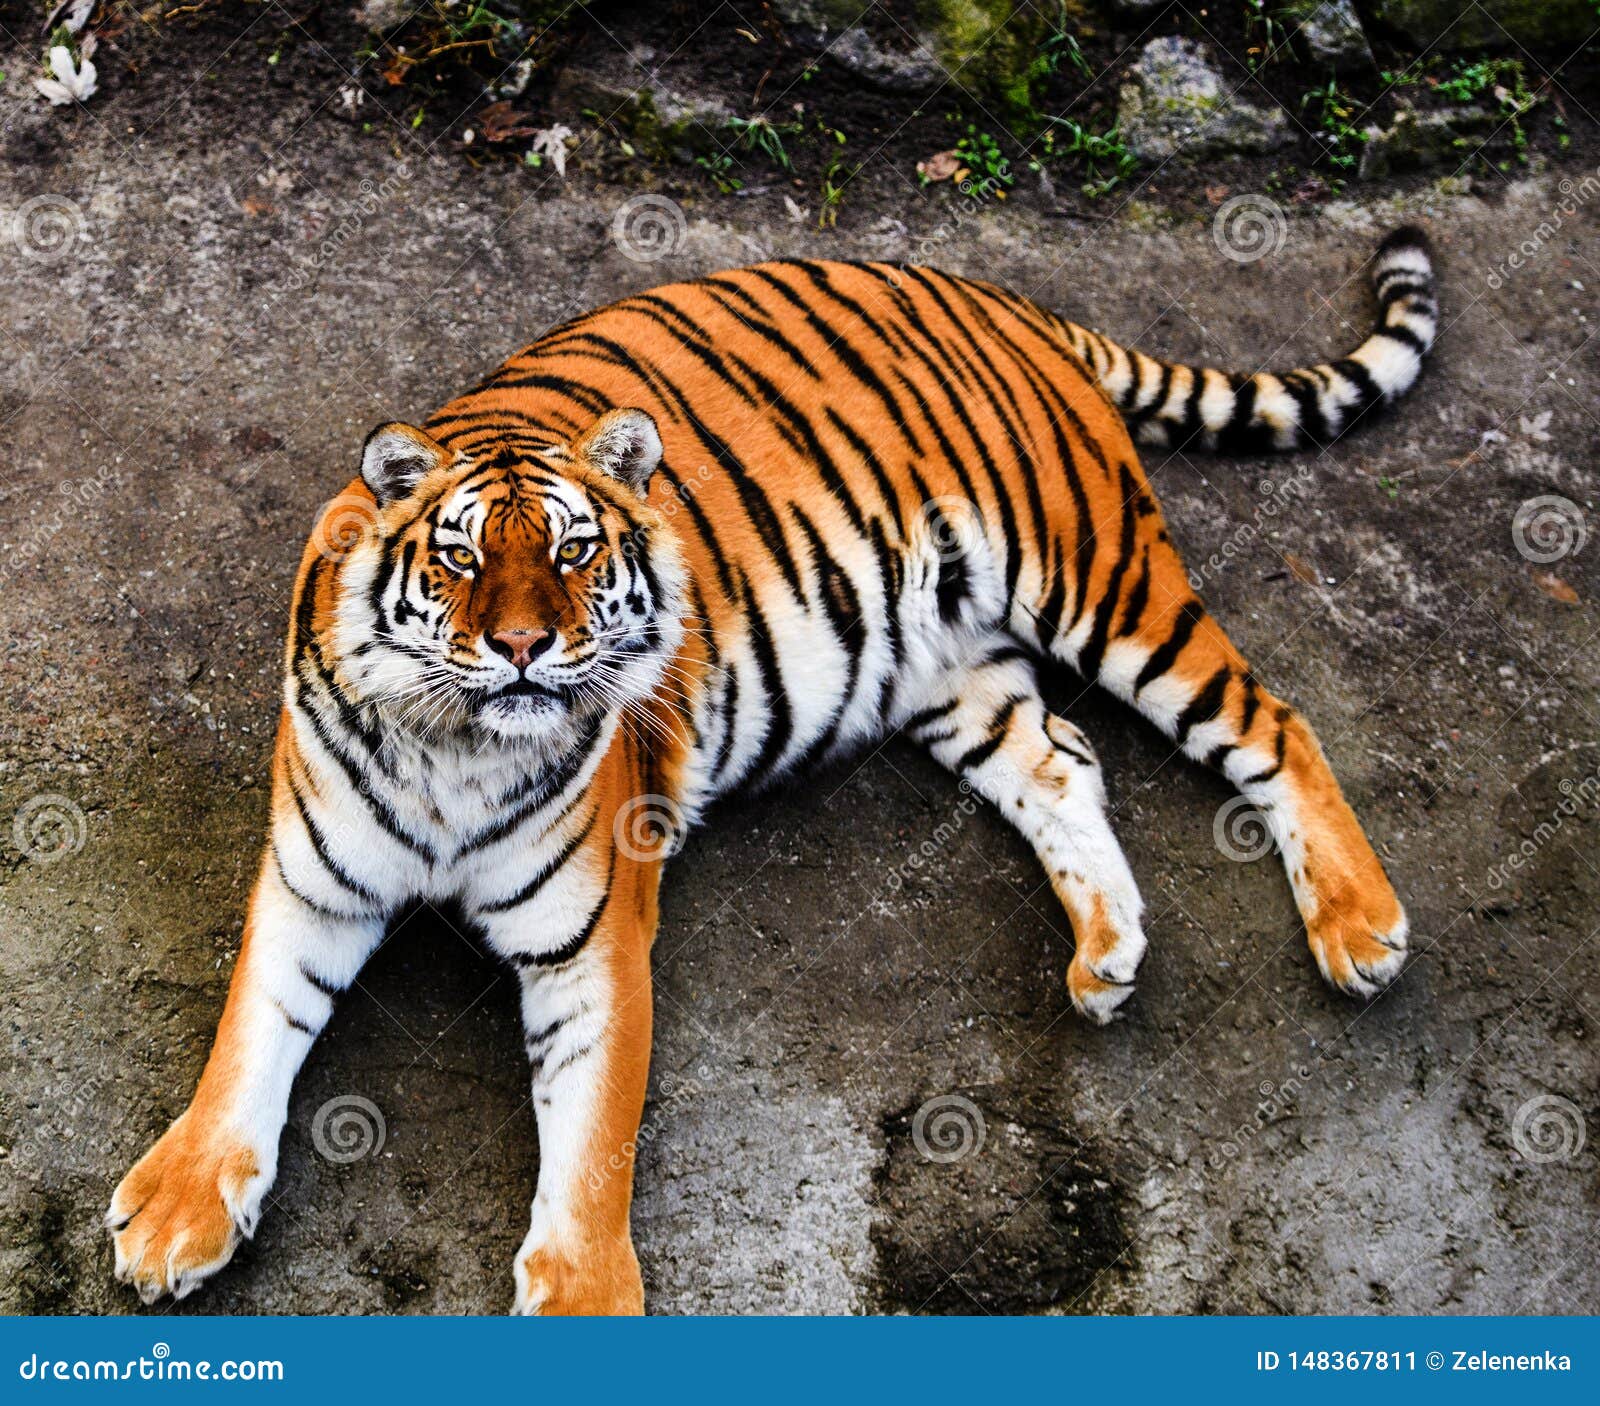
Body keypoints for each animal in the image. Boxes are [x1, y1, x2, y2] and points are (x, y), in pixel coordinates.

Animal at [106, 226, 1436, 1314]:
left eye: (575, 554)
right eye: (464, 558)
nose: (526, 645)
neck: (456, 748)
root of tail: (1004, 297)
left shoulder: (595, 938)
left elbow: (591, 1140)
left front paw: (580, 1301)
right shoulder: (312, 884)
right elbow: (248, 1032)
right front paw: (177, 1208)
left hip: (1099, 576)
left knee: (1274, 723)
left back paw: (1358, 927)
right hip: (946, 666)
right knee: (1061, 762)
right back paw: (1106, 955)